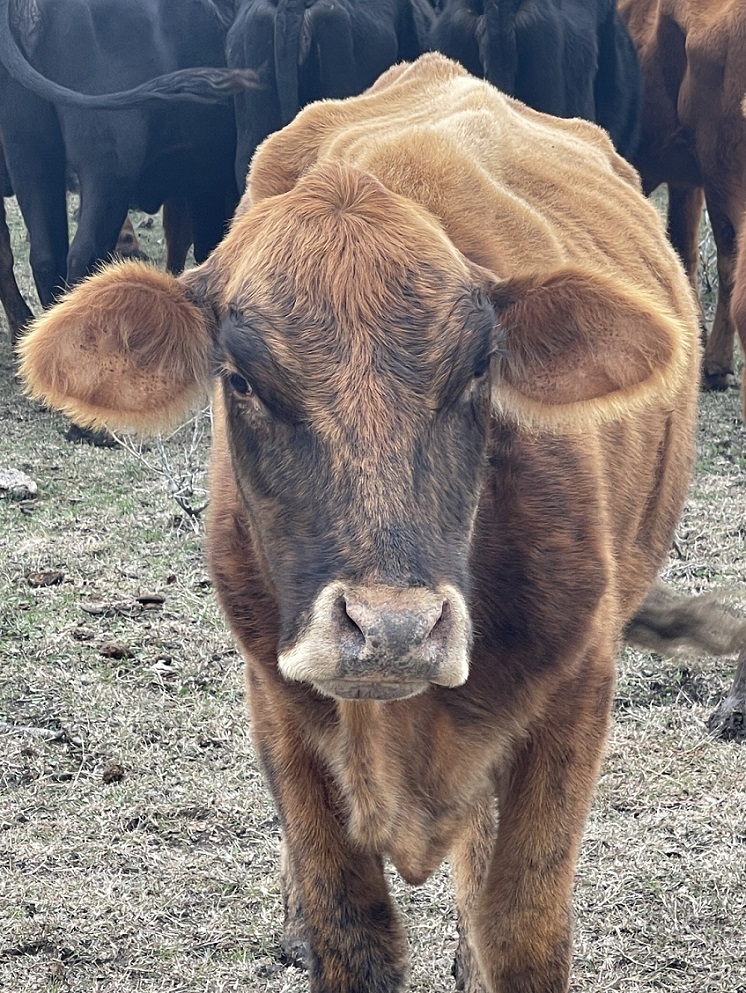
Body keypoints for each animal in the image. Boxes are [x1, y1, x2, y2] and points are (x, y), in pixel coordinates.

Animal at [18, 53, 702, 992]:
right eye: (243, 380)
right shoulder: (279, 704)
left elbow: (520, 929)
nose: (392, 631)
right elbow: (350, 929)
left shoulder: (575, 699)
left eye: (477, 373)